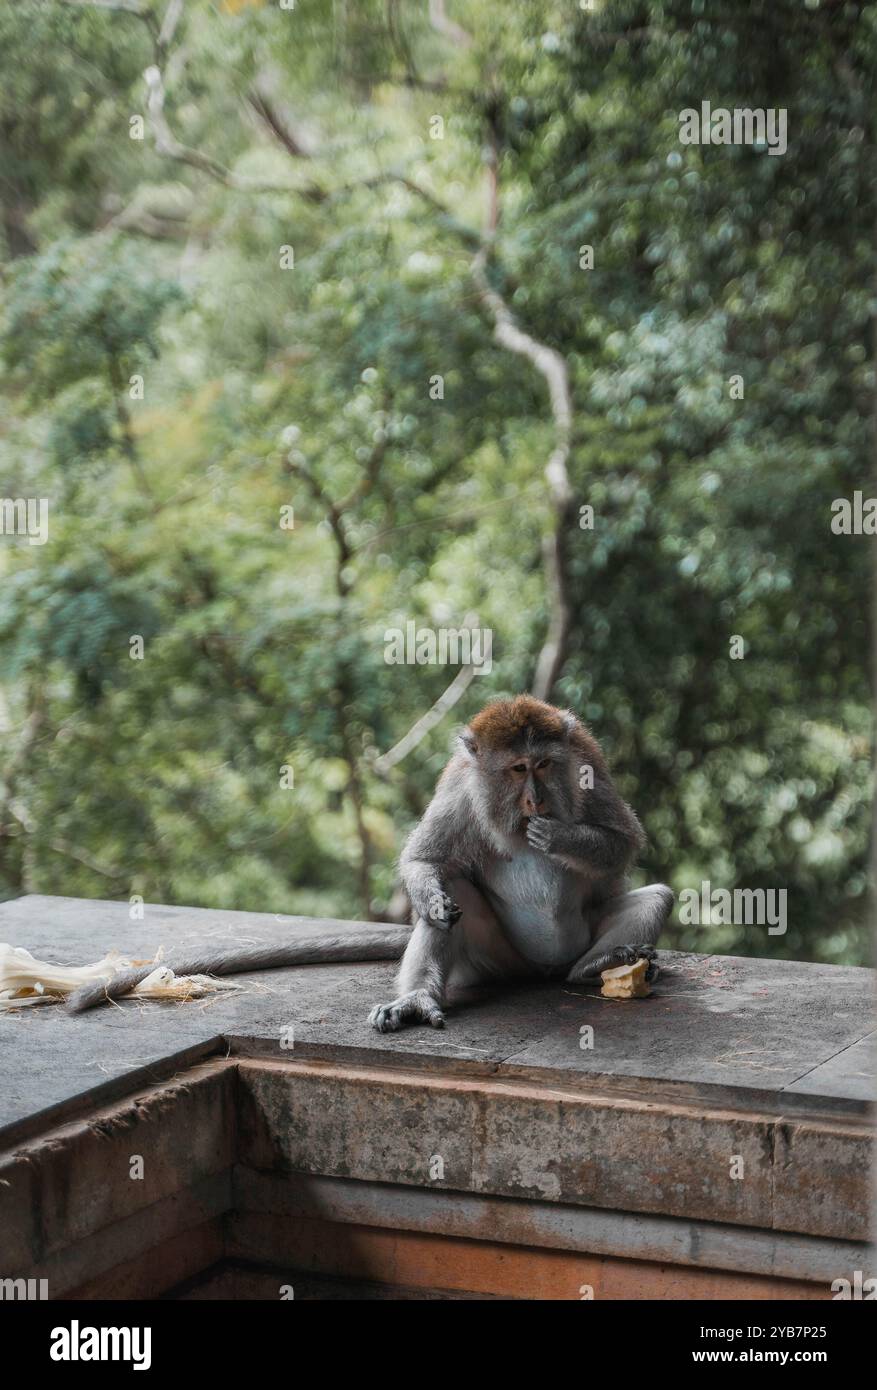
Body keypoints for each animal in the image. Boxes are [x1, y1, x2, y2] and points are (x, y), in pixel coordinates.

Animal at [65, 697, 672, 1023]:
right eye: (517, 769)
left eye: (544, 765)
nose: (534, 802)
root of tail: (539, 971)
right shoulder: (460, 791)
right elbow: (426, 861)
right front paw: (432, 895)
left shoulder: (585, 767)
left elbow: (623, 839)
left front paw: (558, 834)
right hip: (494, 958)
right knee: (452, 899)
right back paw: (418, 997)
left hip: (567, 948)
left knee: (654, 900)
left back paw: (597, 964)